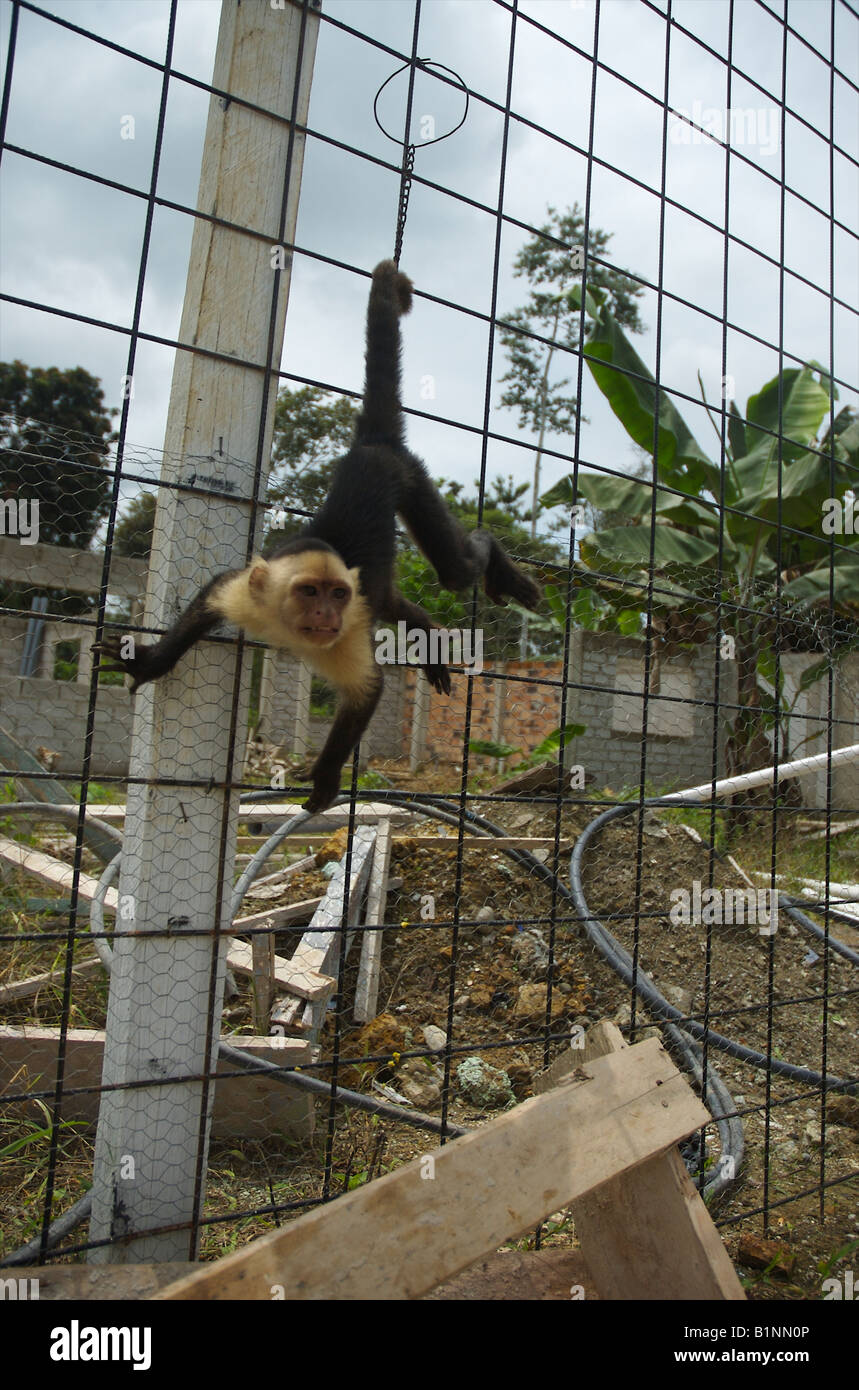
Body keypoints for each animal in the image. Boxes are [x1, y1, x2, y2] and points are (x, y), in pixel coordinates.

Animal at [102, 260, 541, 812]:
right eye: (309, 592)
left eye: (335, 595)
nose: (326, 614)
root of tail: (370, 445)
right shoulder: (252, 595)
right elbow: (212, 594)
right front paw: (151, 663)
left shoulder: (344, 632)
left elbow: (367, 691)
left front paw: (326, 779)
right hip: (387, 539)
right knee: (392, 597)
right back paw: (426, 628)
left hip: (409, 474)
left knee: (455, 571)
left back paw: (497, 564)